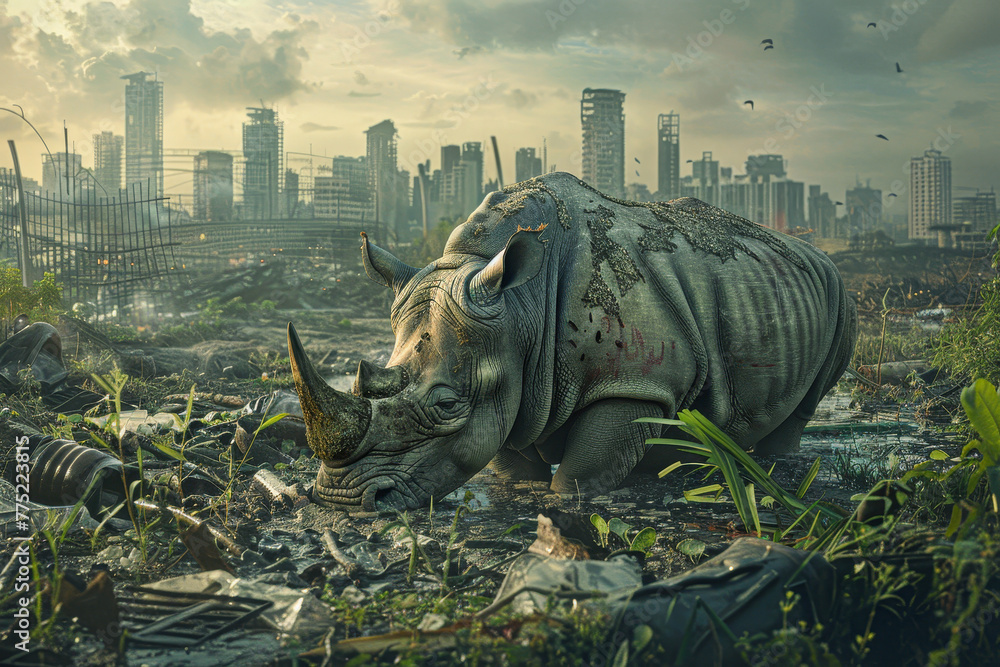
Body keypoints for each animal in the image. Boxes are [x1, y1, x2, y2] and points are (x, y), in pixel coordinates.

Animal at [287, 172, 857, 511]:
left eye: (446, 404)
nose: (339, 499)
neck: (521, 306)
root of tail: (815, 251)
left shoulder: (635, 382)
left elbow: (583, 474)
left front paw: (568, 503)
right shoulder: (514, 380)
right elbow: (506, 456)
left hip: (838, 290)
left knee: (811, 394)